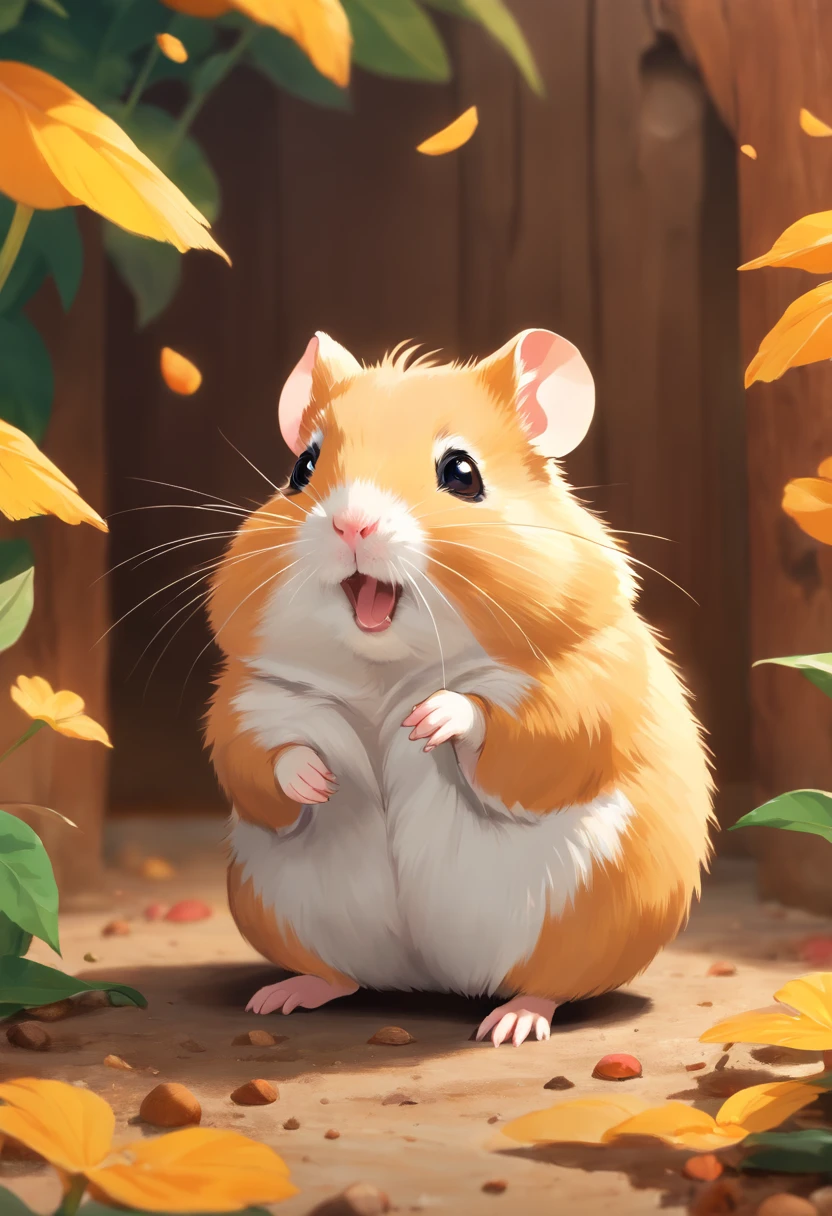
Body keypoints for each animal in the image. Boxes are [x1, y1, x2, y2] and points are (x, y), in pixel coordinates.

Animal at [205, 328, 714, 1047]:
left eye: (461, 474)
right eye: (301, 469)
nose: (351, 524)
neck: (384, 672)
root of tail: (434, 981)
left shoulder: (581, 688)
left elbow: (517, 730)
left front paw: (431, 719)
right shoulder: (249, 700)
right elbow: (256, 761)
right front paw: (319, 780)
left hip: (592, 912)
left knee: (551, 985)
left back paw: (511, 1023)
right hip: (275, 907)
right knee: (340, 977)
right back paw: (280, 997)